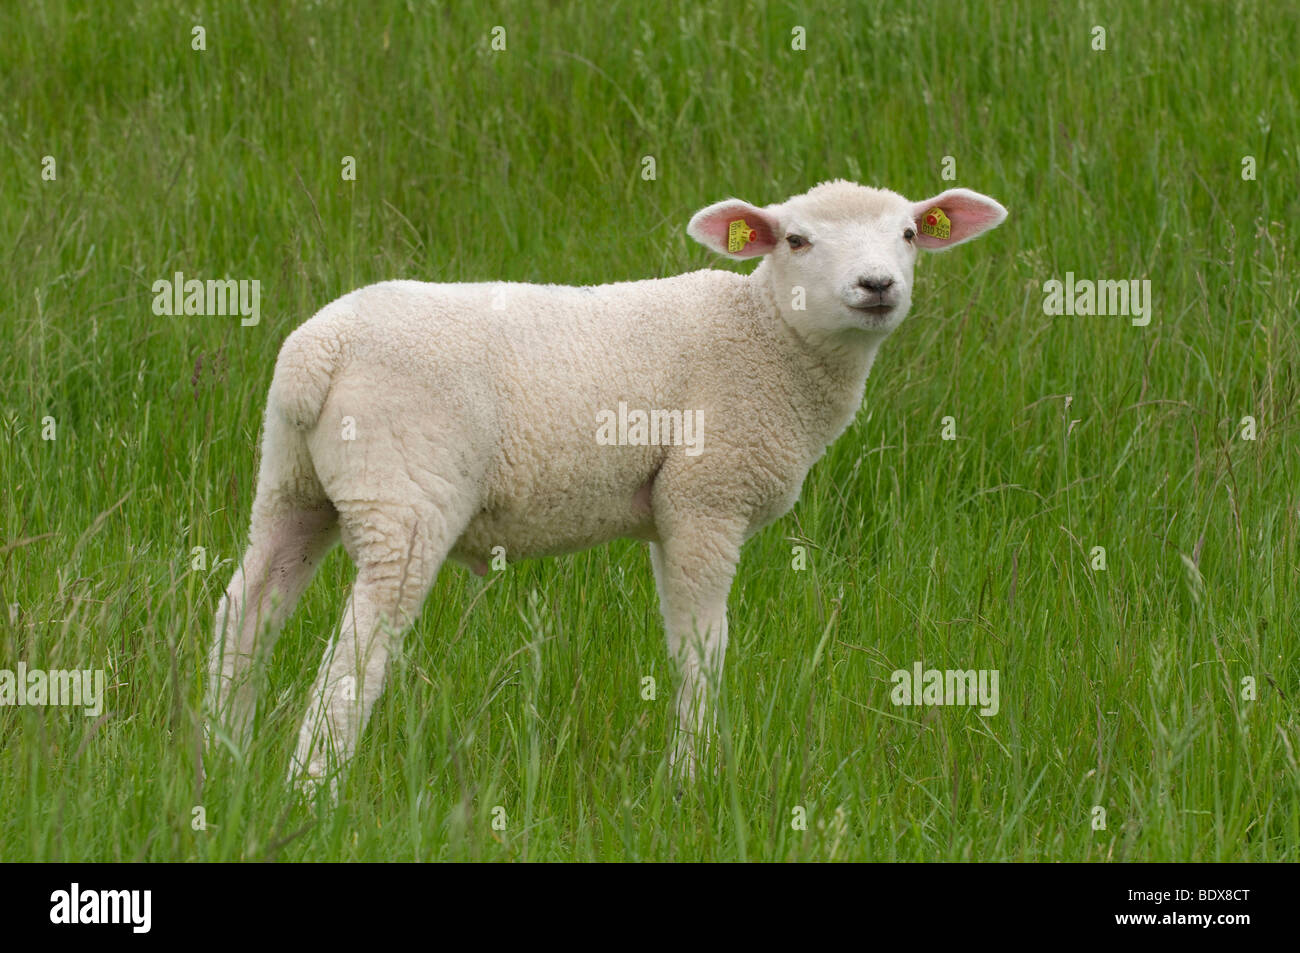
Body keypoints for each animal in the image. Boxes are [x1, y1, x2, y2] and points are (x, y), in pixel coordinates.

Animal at [205, 180, 1008, 794]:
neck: (767, 338)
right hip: (403, 492)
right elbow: (702, 646)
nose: (878, 286)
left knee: (247, 608)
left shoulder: (670, 509)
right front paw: (691, 777)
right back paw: (312, 788)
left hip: (291, 482)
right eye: (797, 241)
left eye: (909, 233)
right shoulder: (706, 495)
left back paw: (221, 758)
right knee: (359, 644)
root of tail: (317, 353)